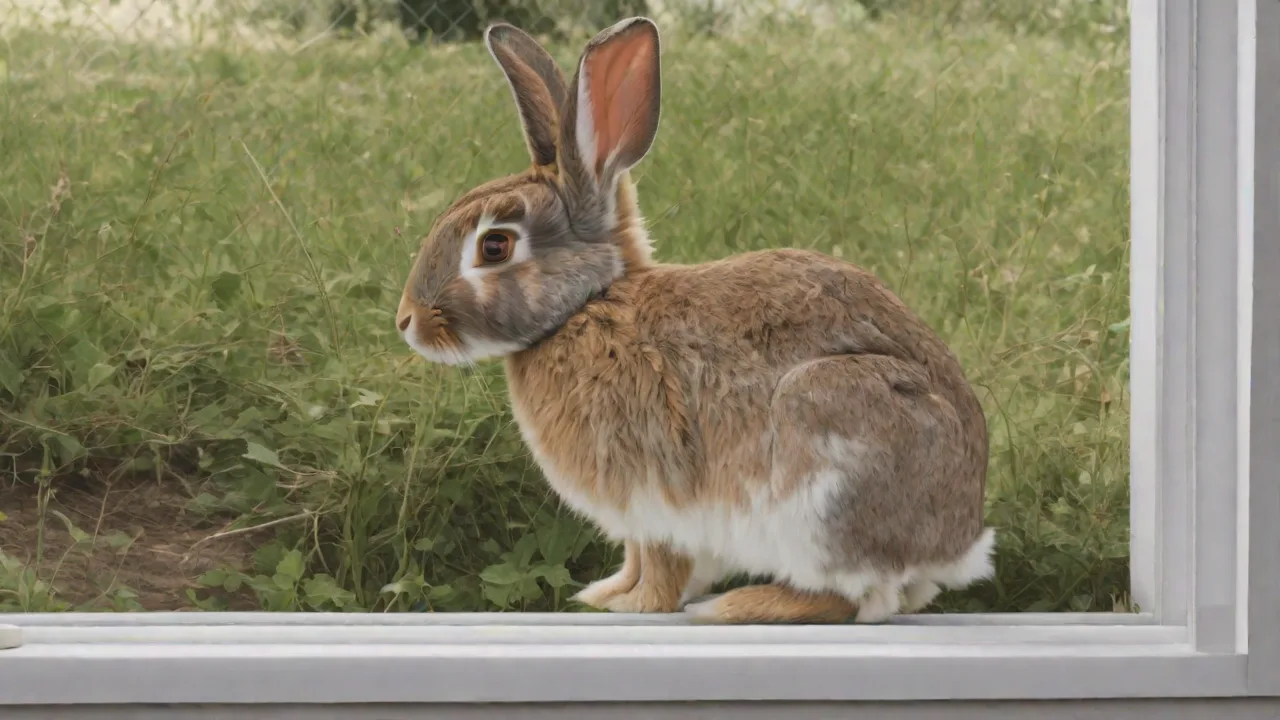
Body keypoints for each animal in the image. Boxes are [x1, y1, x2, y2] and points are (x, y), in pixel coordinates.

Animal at [394, 16, 995, 624]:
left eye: (494, 246)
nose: (406, 321)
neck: (589, 303)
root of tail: (956, 544)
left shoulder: (657, 496)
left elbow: (662, 565)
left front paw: (634, 607)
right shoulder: (640, 516)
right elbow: (636, 559)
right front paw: (605, 595)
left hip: (823, 469)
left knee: (846, 595)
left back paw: (735, 605)